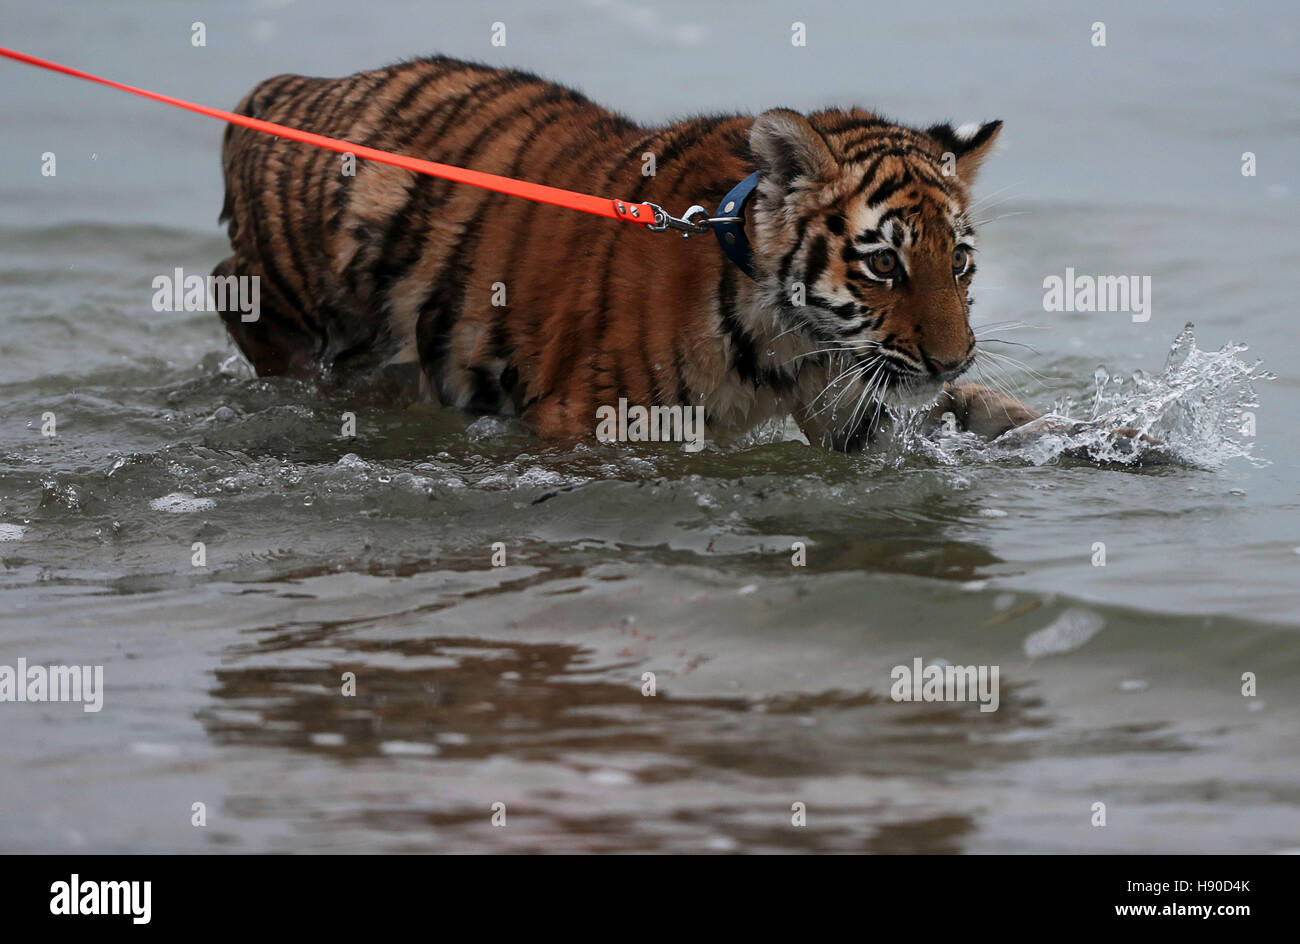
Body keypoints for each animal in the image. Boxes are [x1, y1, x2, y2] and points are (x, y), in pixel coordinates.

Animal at [213, 55, 1043, 450]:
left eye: (958, 261)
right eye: (883, 265)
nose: (951, 360)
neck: (790, 346)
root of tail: (277, 87)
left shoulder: (854, 405)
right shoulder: (591, 422)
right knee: (236, 297)